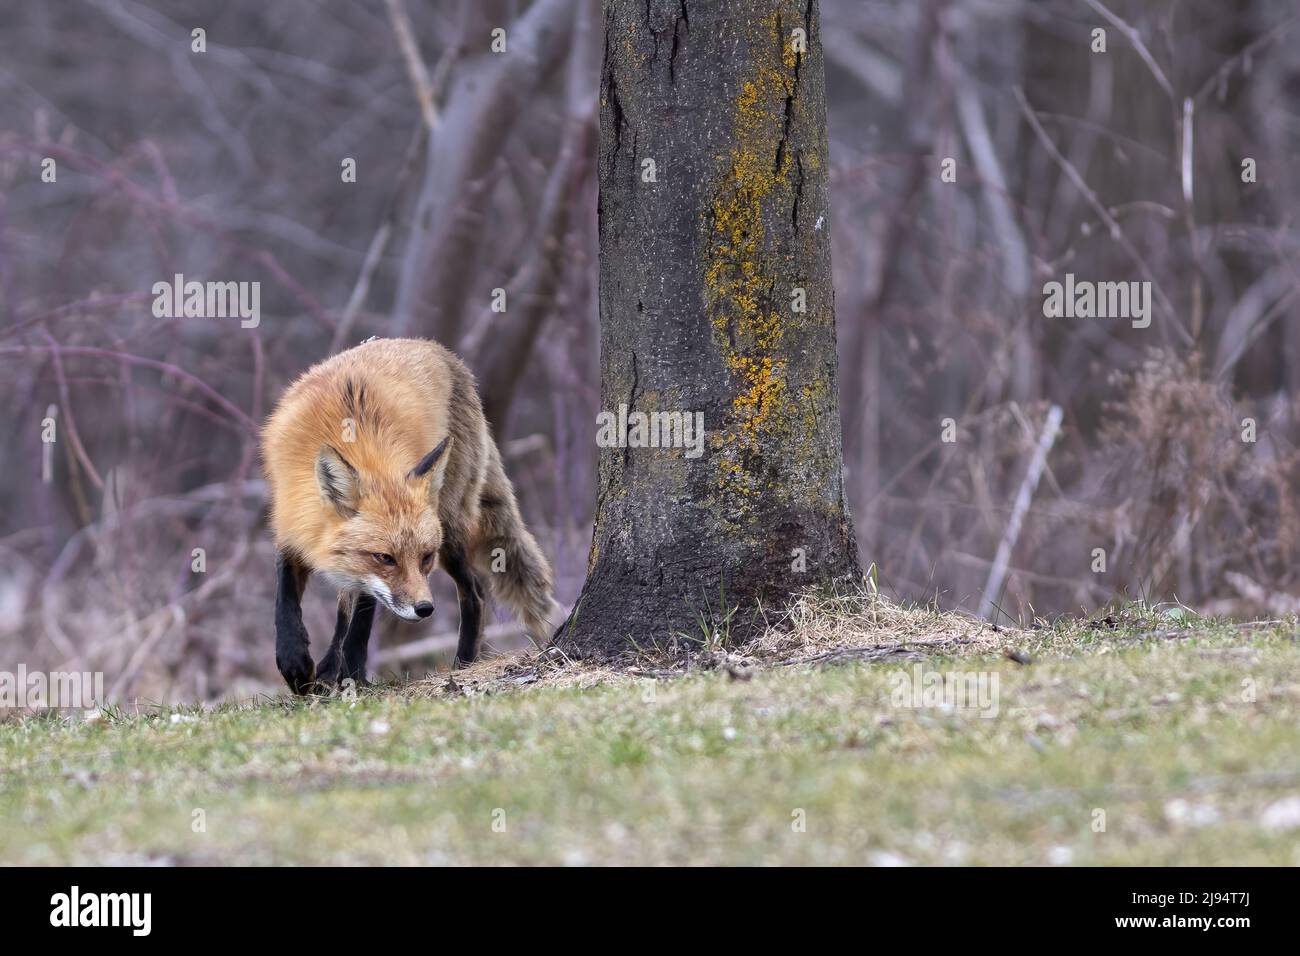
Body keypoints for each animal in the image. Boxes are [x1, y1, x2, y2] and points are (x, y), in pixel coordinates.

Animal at [261, 337, 559, 694]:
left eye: (425, 558)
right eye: (385, 558)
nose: (425, 608)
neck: (354, 435)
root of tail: (436, 349)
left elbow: (361, 616)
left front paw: (351, 674)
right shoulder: (291, 524)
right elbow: (285, 601)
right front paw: (295, 664)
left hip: (451, 533)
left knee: (476, 593)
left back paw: (462, 665)